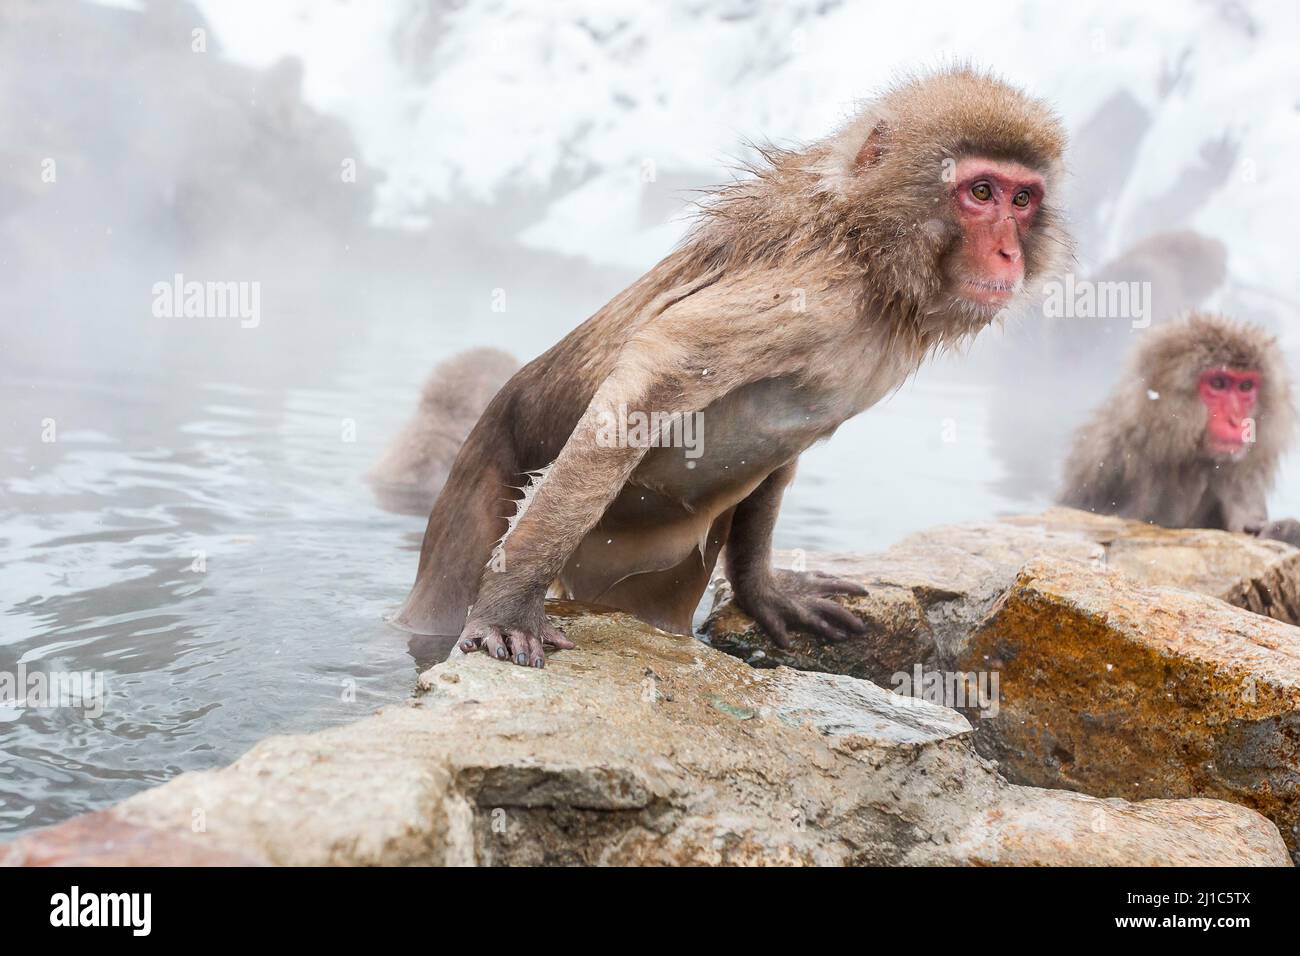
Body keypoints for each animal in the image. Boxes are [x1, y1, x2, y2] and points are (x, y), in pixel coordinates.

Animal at [394, 66, 1070, 667]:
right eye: (980, 192)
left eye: (1022, 198)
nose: (1008, 253)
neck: (872, 252)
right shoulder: (814, 292)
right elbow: (657, 376)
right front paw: (511, 606)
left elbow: (784, 446)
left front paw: (762, 590)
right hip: (482, 475)